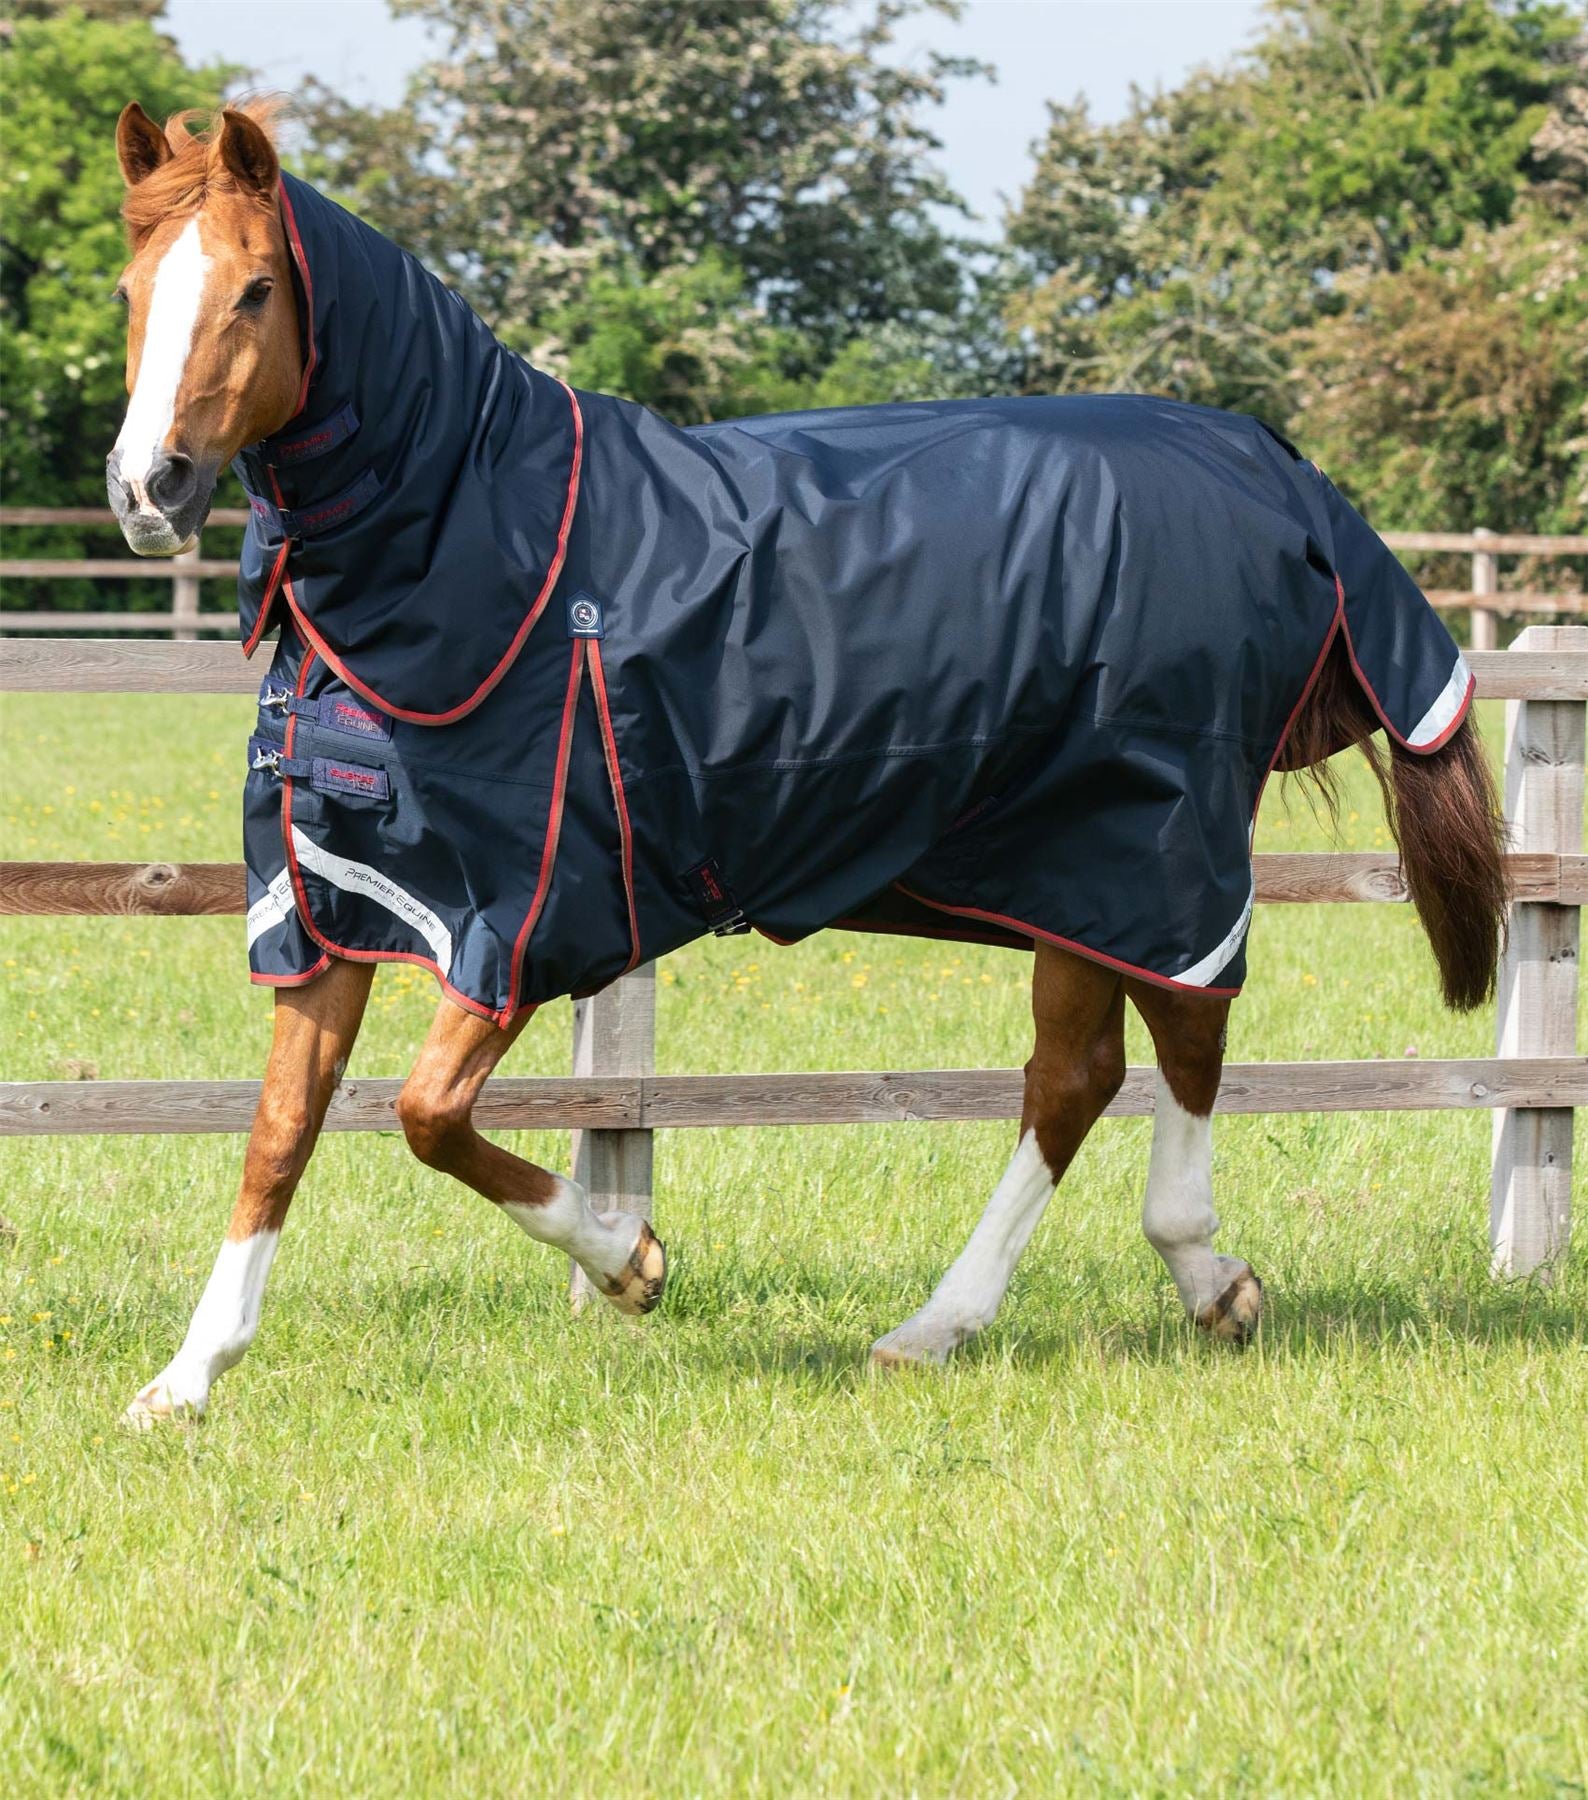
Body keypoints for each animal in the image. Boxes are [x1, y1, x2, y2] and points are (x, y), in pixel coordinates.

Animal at [106, 102, 1508, 1425]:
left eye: (256, 288)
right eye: (130, 290)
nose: (146, 488)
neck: (481, 542)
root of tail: (1275, 470)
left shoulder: (525, 914)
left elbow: (425, 1114)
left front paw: (630, 1261)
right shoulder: (329, 900)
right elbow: (280, 1131)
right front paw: (186, 1379)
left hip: (1146, 842)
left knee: (1179, 1032)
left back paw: (1176, 1283)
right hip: (1064, 866)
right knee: (1082, 1076)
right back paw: (958, 1324)